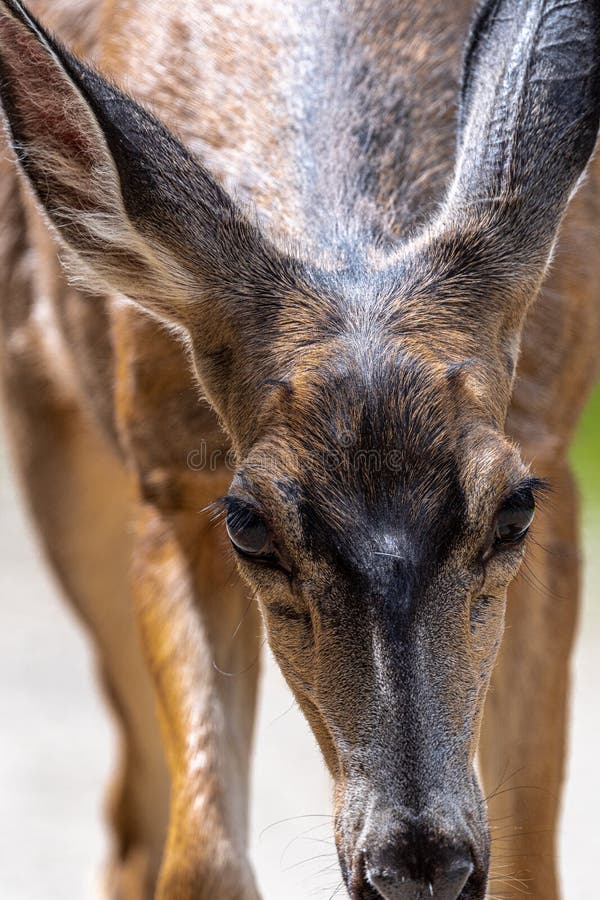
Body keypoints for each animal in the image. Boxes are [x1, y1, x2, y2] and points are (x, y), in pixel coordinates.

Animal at [0, 0, 599, 897]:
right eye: (249, 525)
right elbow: (200, 859)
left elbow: (532, 868)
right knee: (135, 819)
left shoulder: (551, 440)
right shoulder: (166, 477)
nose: (418, 866)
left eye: (514, 509)